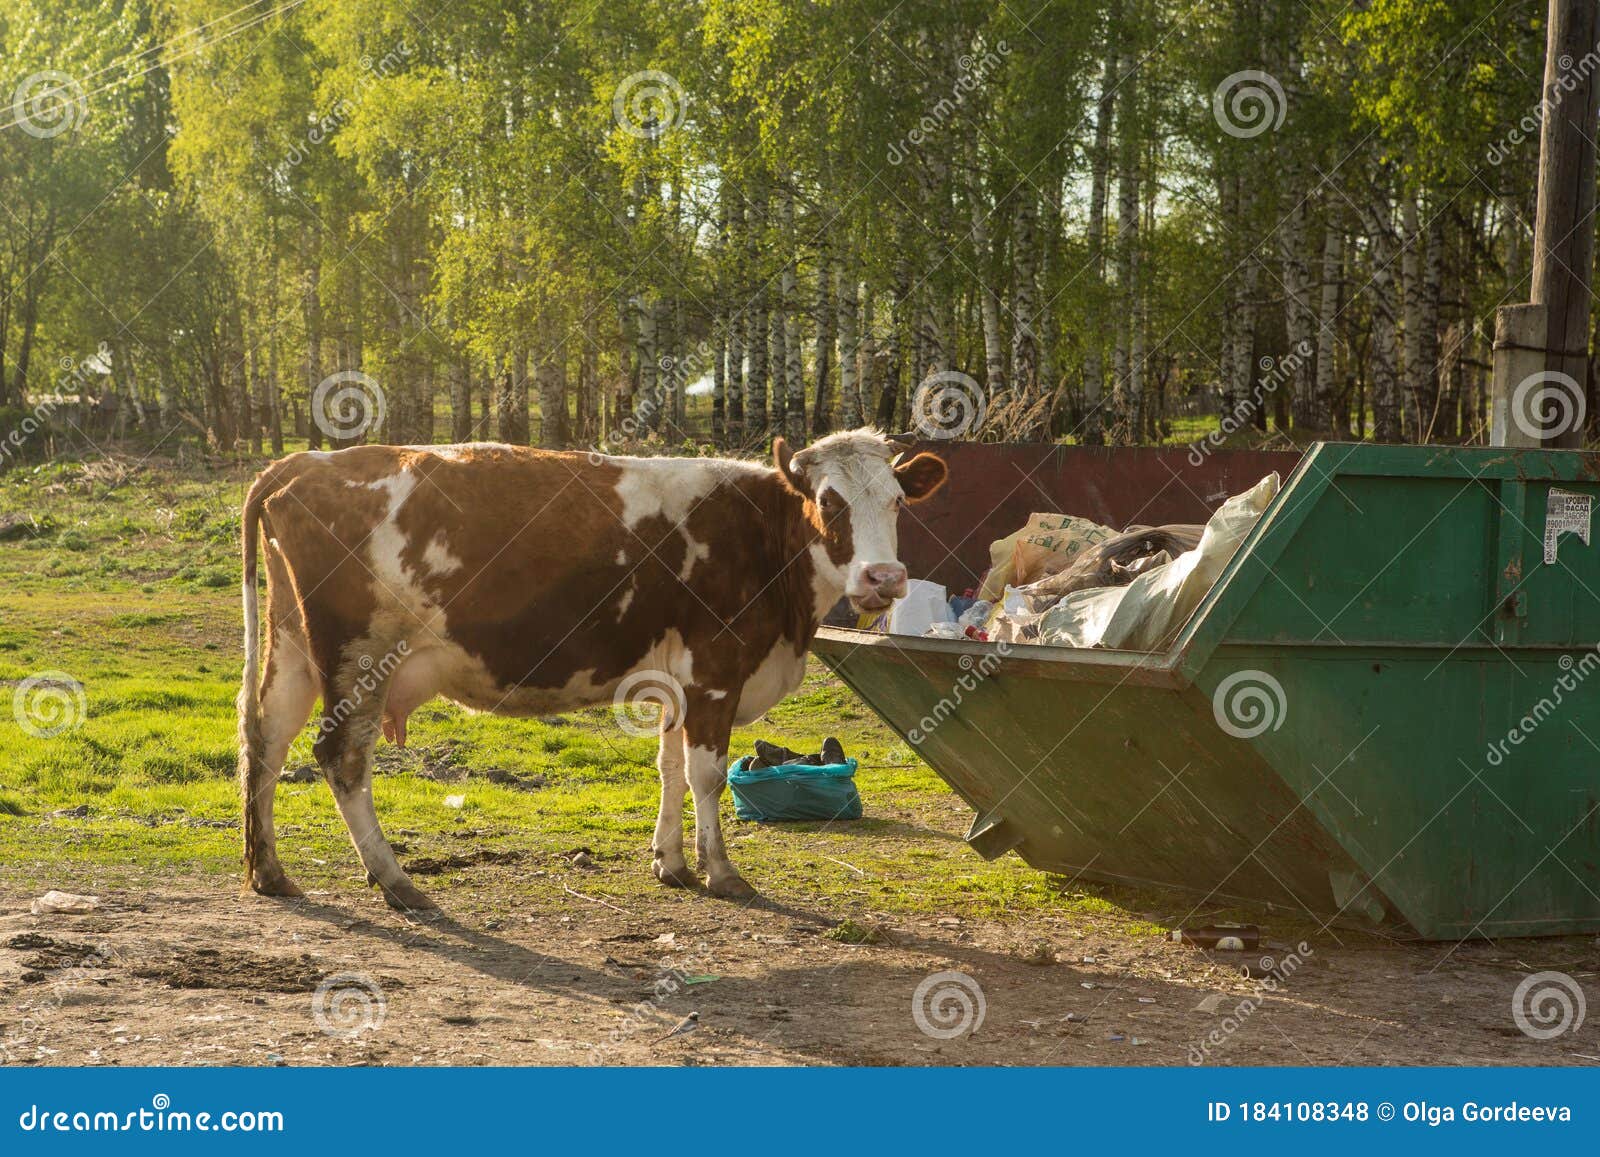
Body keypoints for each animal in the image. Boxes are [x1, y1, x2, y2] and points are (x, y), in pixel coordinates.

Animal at [235, 429, 947, 911]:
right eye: (829, 502)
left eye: (897, 502)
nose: (884, 578)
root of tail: (307, 460)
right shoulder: (715, 671)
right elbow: (706, 776)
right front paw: (721, 872)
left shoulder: (679, 683)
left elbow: (669, 769)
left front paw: (671, 863)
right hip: (359, 657)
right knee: (341, 758)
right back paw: (395, 879)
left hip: (292, 647)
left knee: (266, 740)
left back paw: (268, 871)